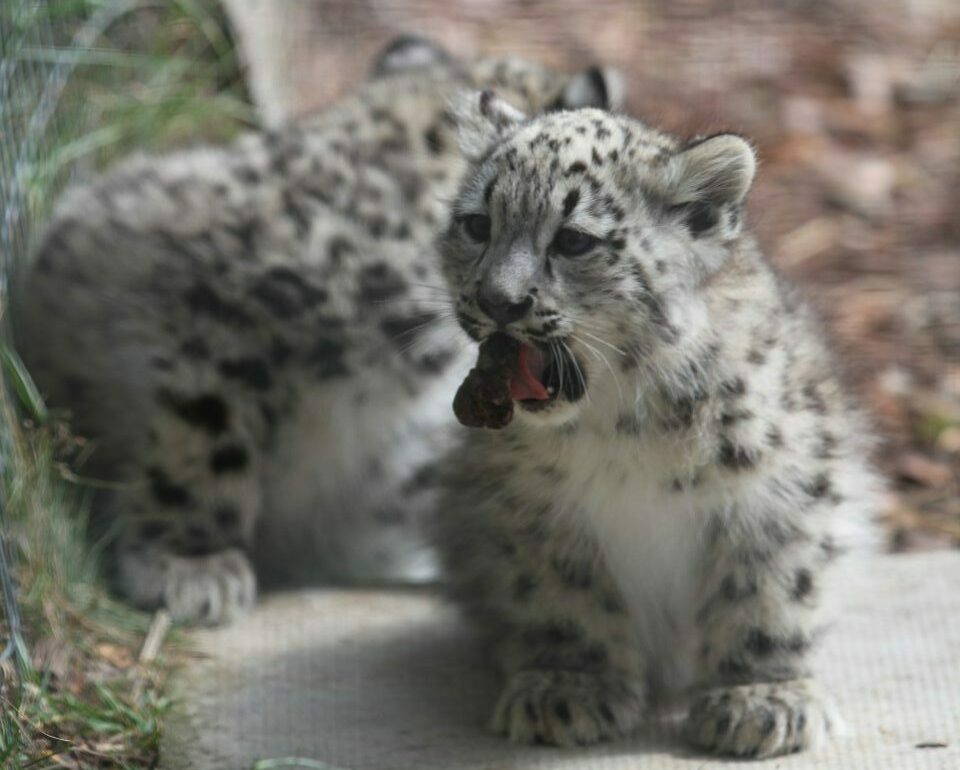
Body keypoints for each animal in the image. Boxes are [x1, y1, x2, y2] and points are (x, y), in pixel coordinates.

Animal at [434, 91, 884, 759]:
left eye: (573, 240)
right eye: (477, 225)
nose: (497, 301)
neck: (619, 427)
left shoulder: (778, 487)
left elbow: (768, 587)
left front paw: (762, 697)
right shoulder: (533, 507)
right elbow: (560, 592)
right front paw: (567, 687)